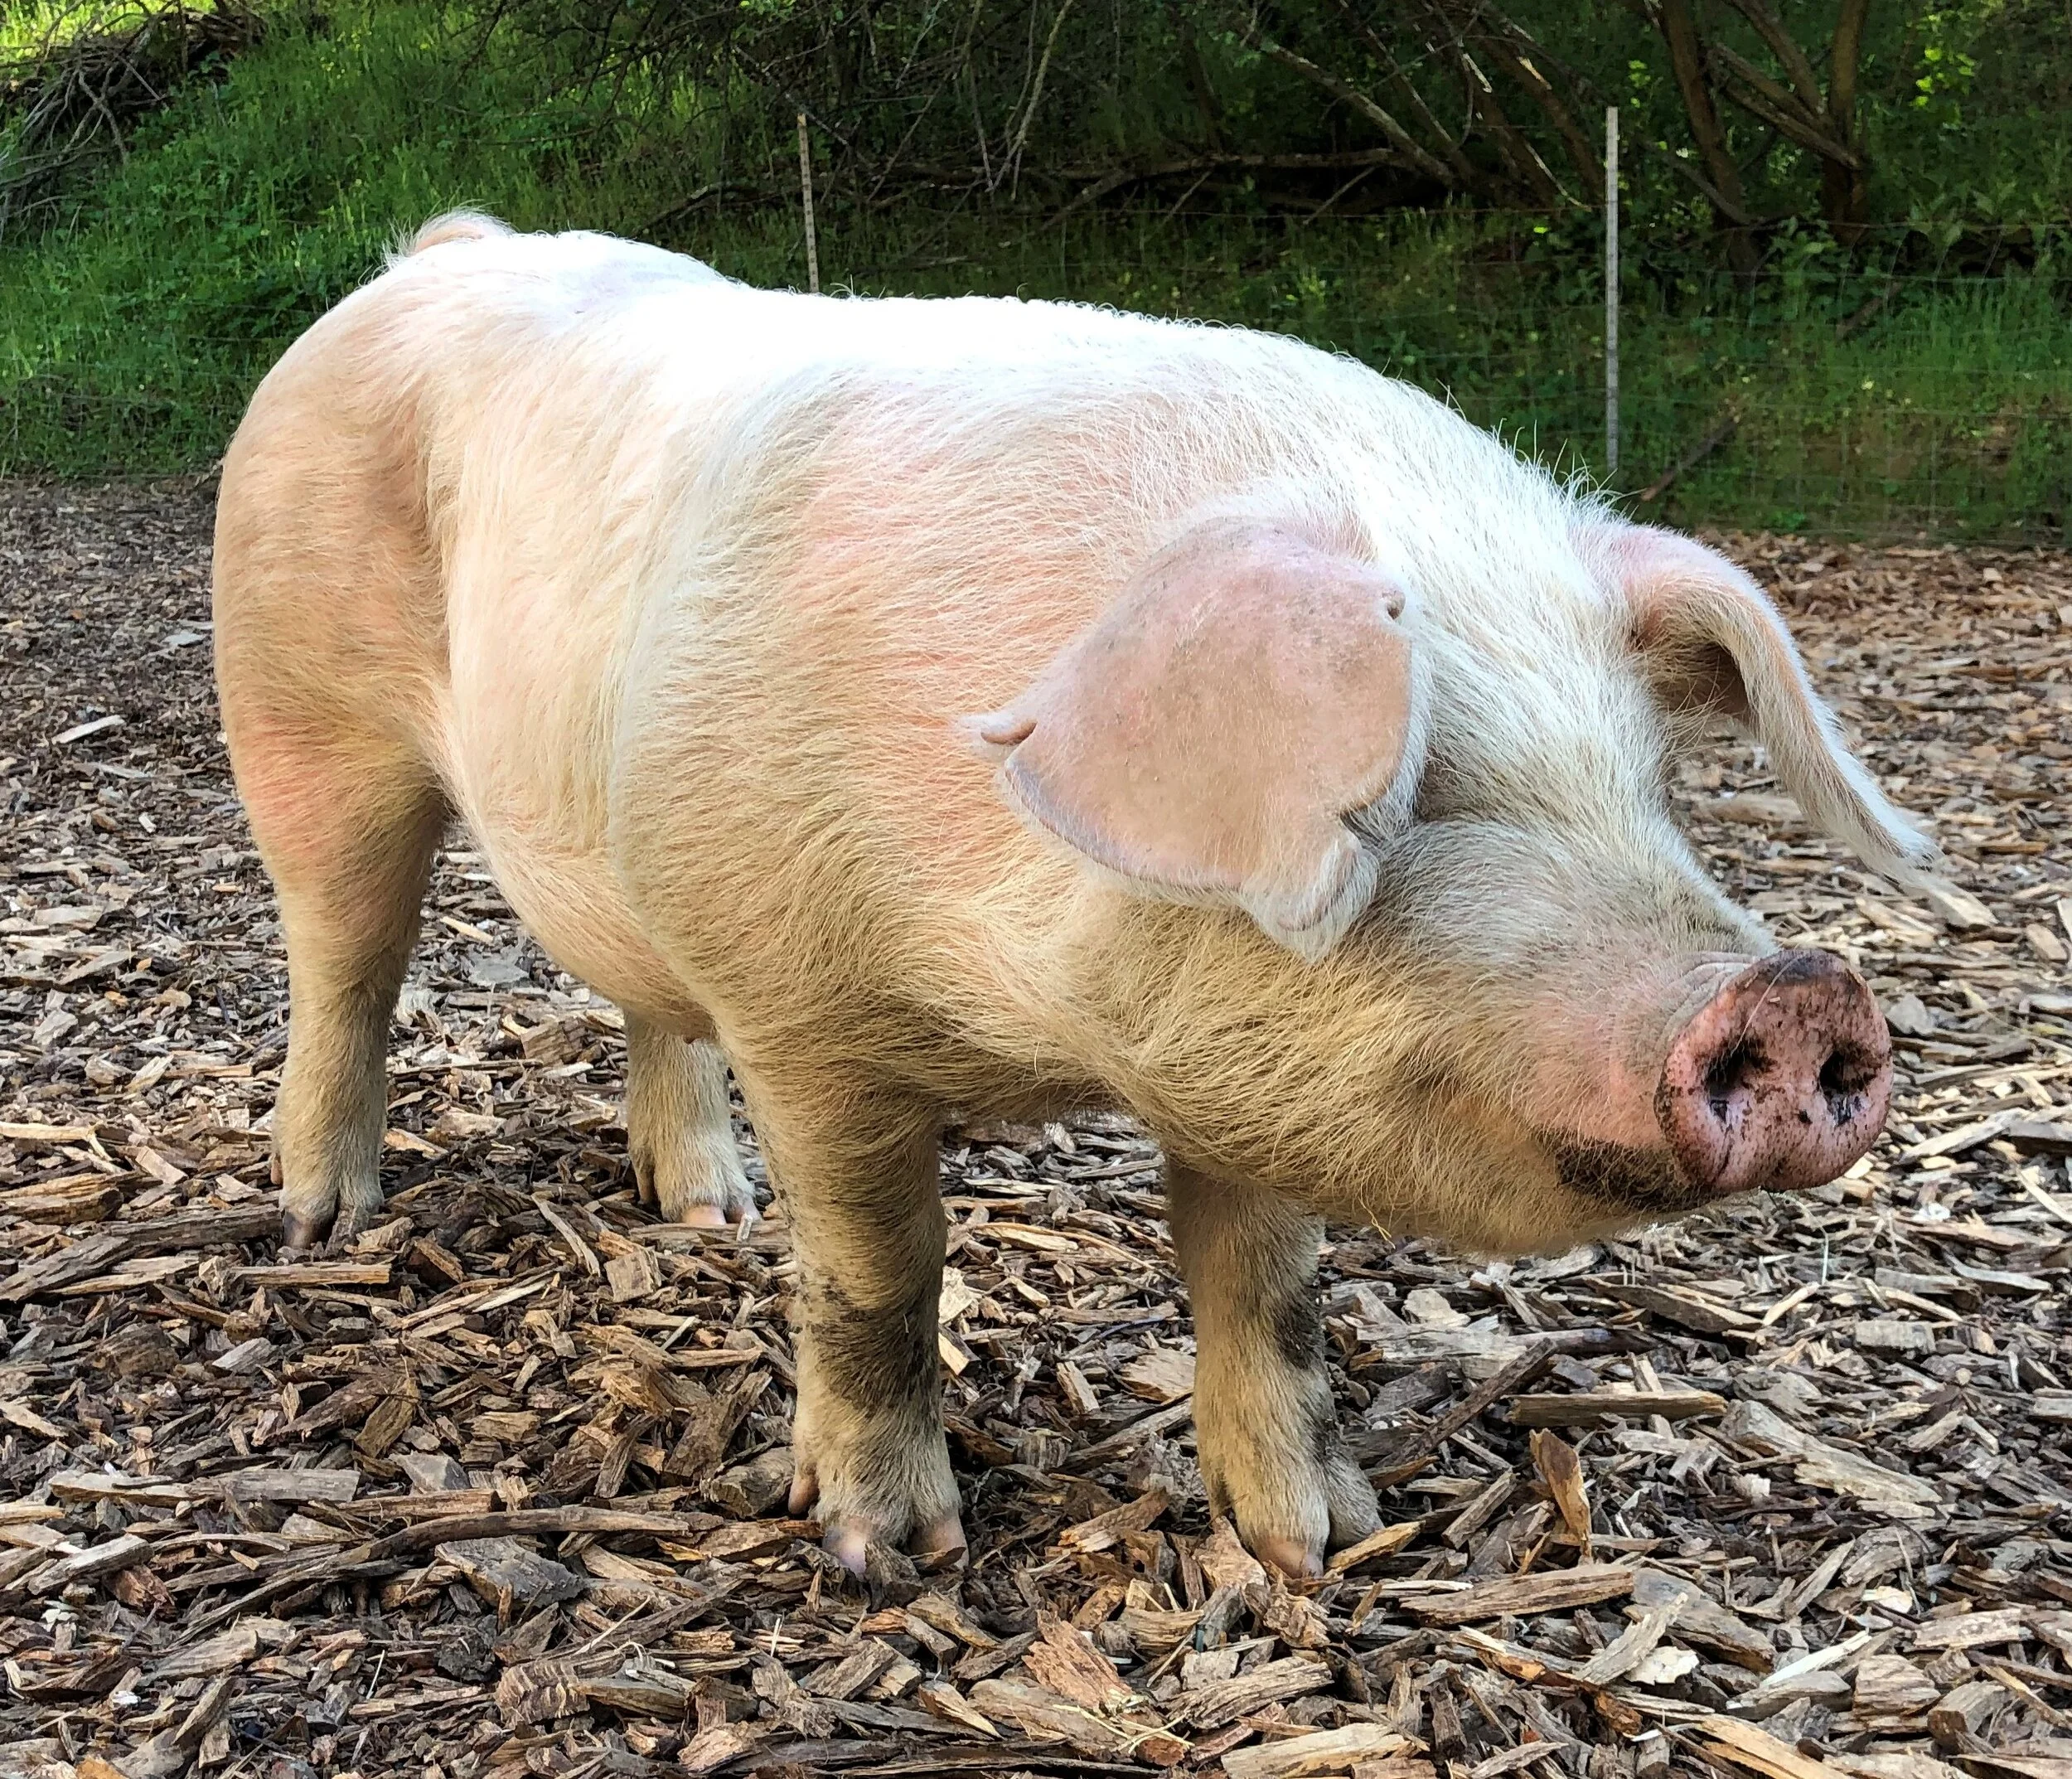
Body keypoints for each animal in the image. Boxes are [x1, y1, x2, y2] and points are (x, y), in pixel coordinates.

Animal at [213, 211, 1930, 1577]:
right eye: (1407, 790)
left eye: (1649, 788)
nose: (1798, 991)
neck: (1038, 1030)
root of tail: (447, 248)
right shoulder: (805, 1012)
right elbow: (878, 1275)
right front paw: (889, 1554)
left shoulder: (1244, 1061)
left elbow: (1268, 1287)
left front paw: (1318, 1547)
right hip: (292, 701)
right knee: (344, 957)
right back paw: (323, 1218)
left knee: (638, 997)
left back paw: (707, 1210)